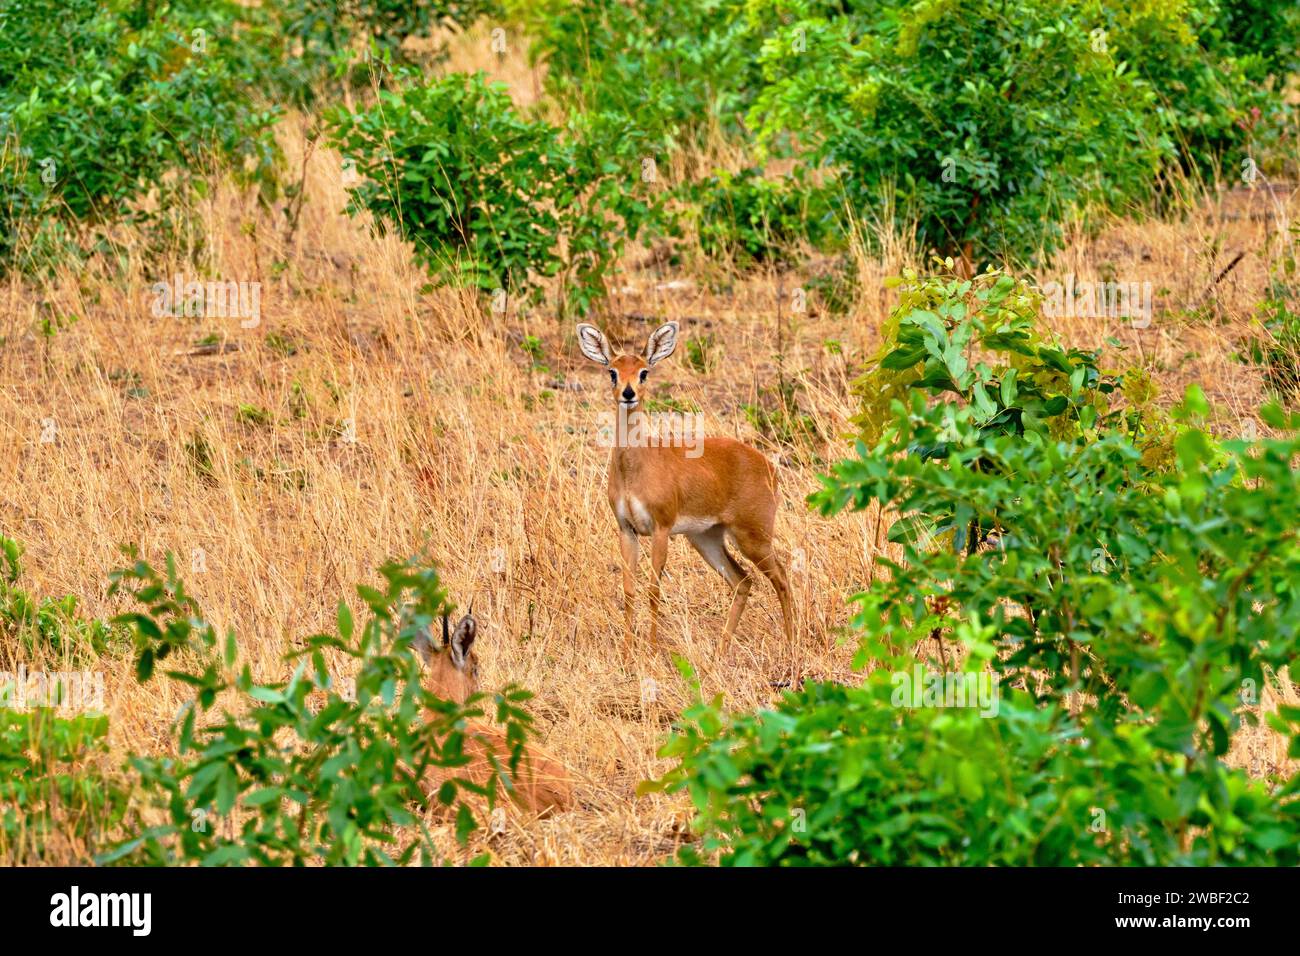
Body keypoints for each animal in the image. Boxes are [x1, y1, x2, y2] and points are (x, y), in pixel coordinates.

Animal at [576, 321, 794, 657]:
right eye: (612, 371)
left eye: (644, 371)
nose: (628, 393)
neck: (635, 470)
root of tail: (768, 467)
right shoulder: (626, 529)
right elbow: (628, 590)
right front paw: (626, 654)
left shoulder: (661, 528)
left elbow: (653, 589)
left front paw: (652, 650)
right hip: (706, 538)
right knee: (742, 581)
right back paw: (720, 651)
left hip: (752, 536)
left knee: (782, 578)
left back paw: (793, 644)